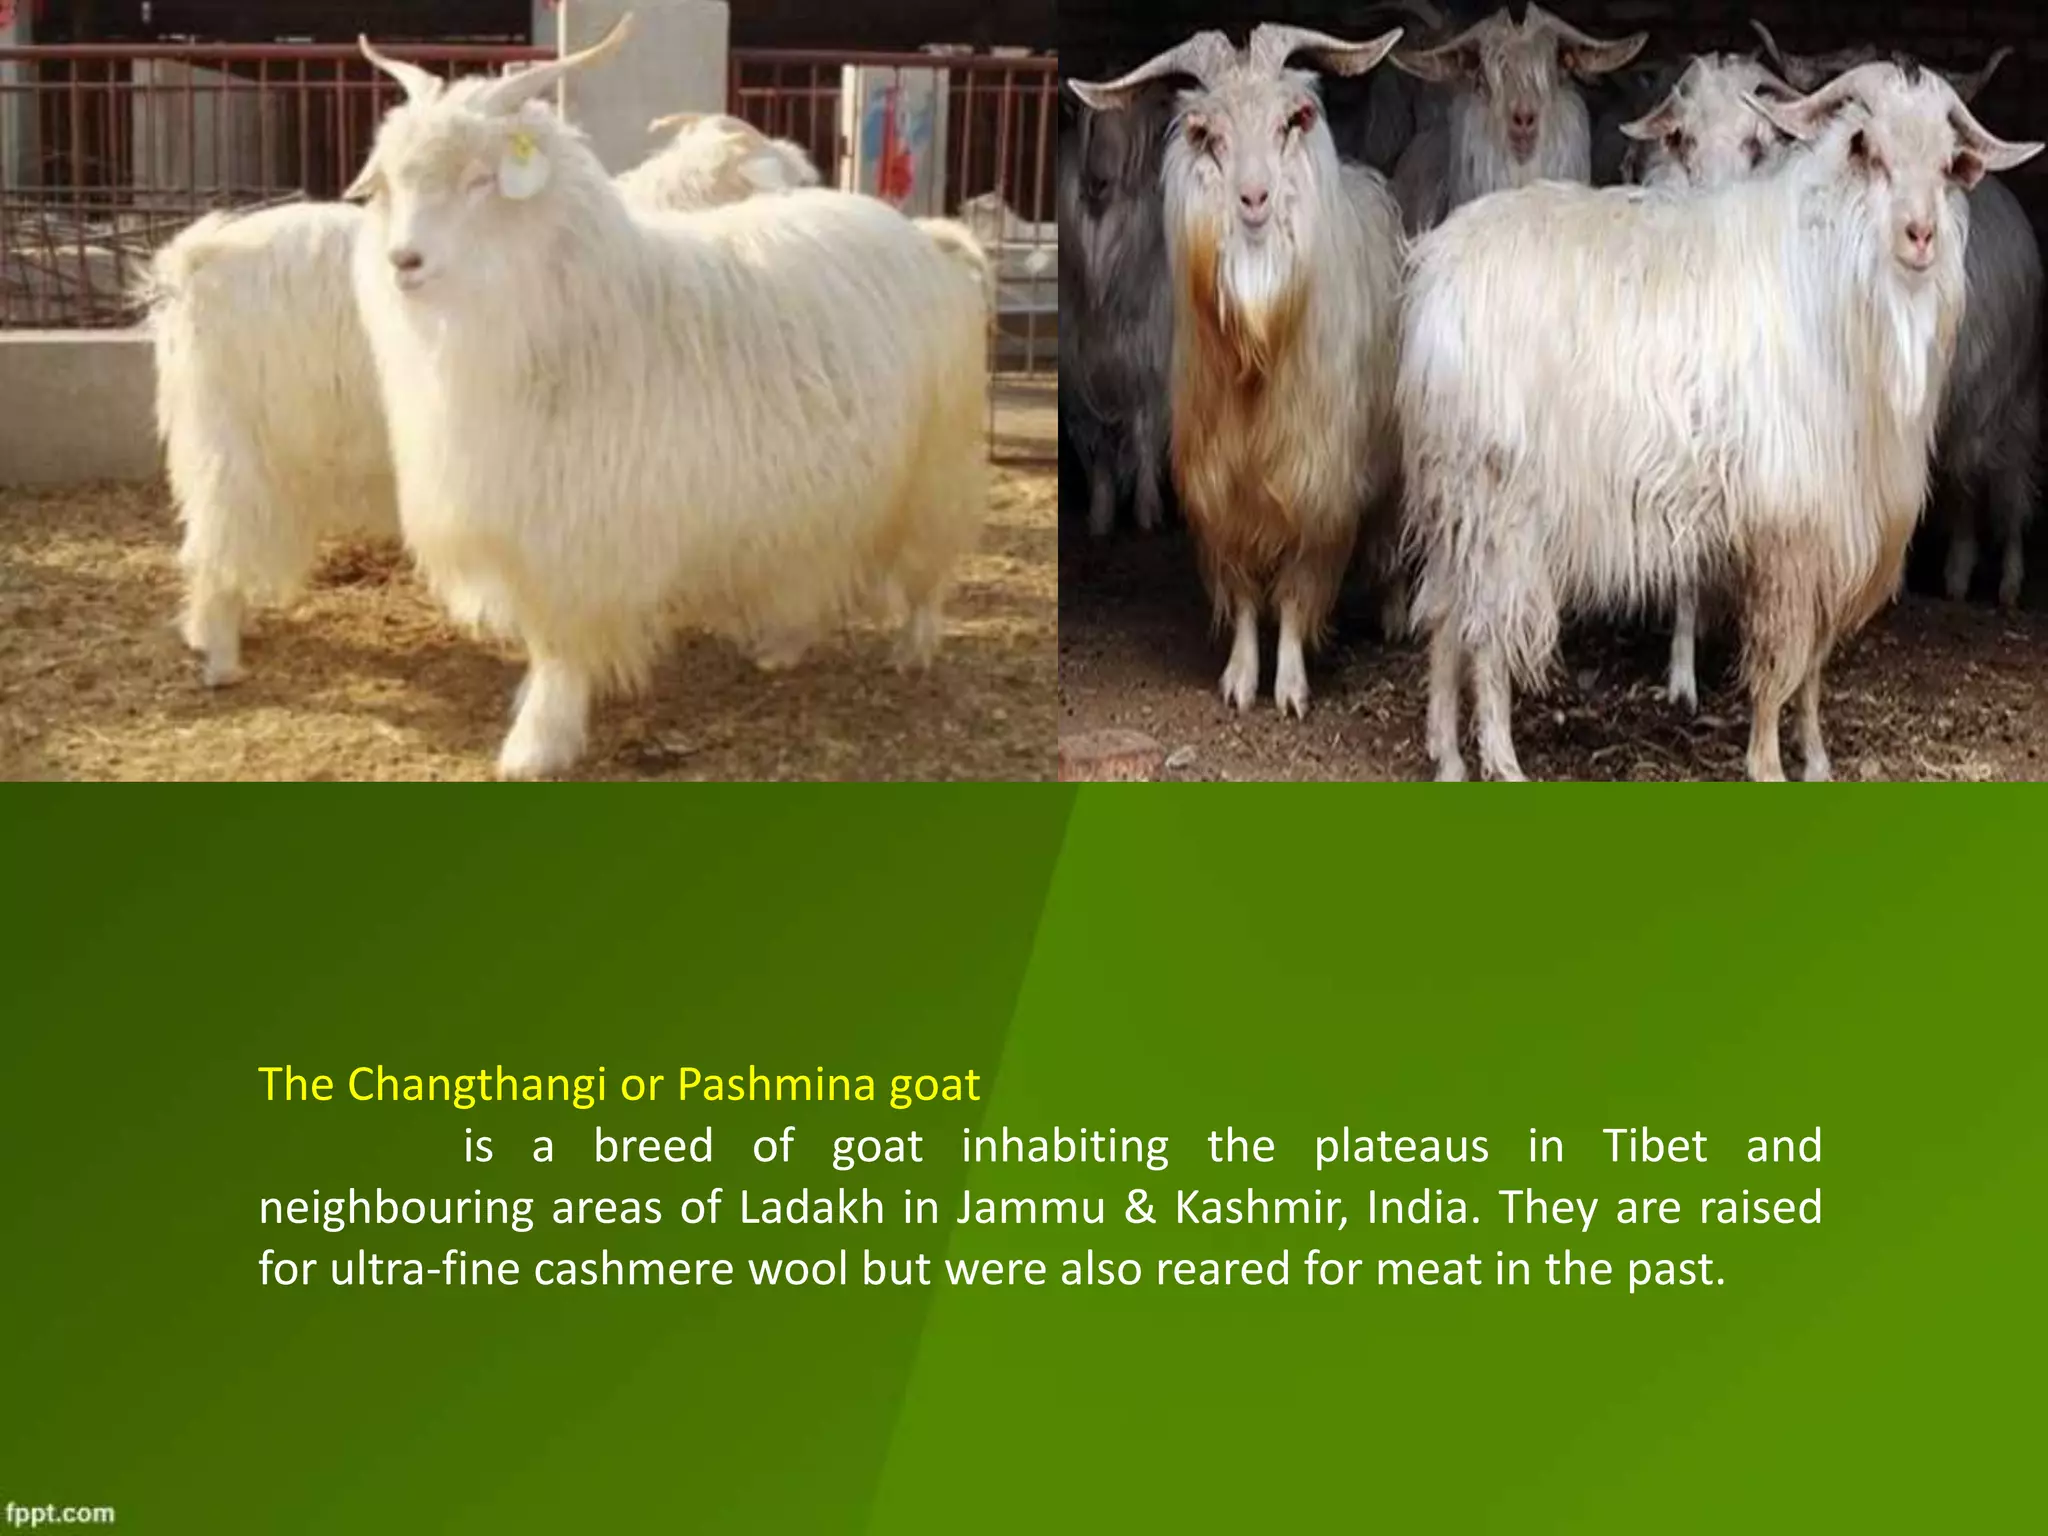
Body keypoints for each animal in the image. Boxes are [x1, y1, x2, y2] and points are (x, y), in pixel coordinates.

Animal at [345, 18, 990, 779]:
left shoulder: (579, 535)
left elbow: (559, 646)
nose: (403, 261)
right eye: (389, 183)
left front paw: (539, 740)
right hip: (827, 488)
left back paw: (913, 649)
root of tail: (924, 237)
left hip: (932, 468)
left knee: (926, 570)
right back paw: (783, 644)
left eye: (480, 179)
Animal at [1057, 81, 1174, 538]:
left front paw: (1146, 514)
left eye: (1133, 133)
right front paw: (1100, 518)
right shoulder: (1085, 378)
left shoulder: (1150, 372)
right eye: (1089, 125)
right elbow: (1102, 451)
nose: (1098, 182)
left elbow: (1144, 436)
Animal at [1071, 24, 1410, 720]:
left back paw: (1393, 614)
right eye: (1210, 135)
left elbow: (1295, 593)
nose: (1254, 200)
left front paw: (1291, 688)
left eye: (1287, 124)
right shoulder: (1219, 488)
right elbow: (1247, 595)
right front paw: (1240, 678)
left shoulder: (1315, 480)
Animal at [1752, 26, 2041, 610]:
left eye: (1945, 158)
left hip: (2010, 403)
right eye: (1855, 132)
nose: (1920, 232)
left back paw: (2000, 582)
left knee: (1998, 487)